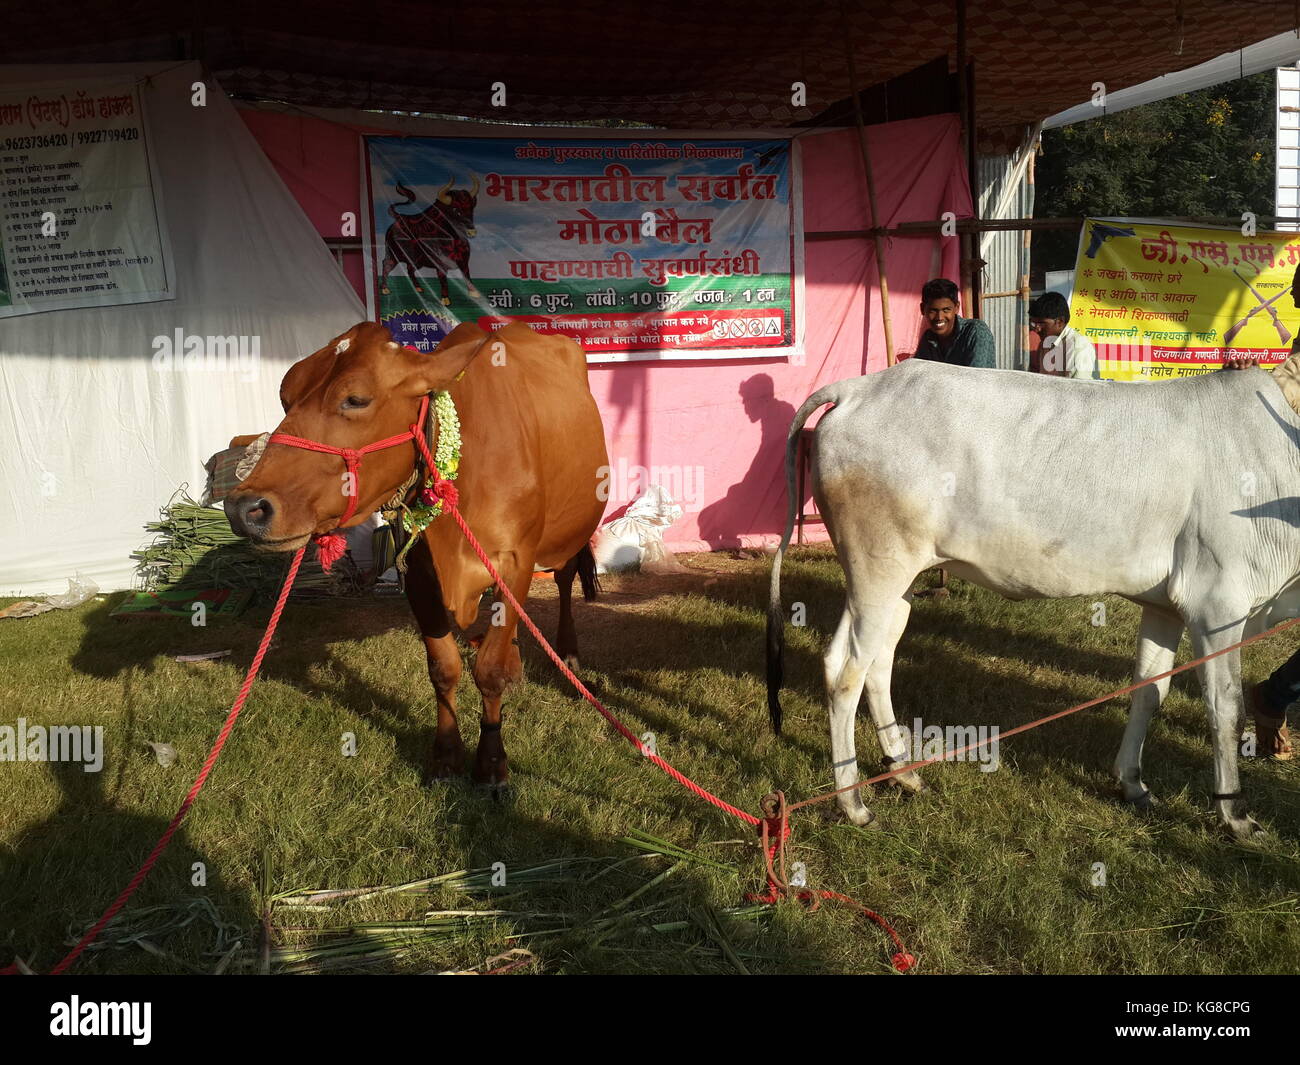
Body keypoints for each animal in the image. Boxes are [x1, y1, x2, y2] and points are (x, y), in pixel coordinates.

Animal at [225, 320, 609, 787]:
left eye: (356, 399)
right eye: (285, 395)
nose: (244, 508)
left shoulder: (513, 562)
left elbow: (489, 670)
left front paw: (492, 763)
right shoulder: (419, 572)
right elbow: (443, 668)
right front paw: (445, 756)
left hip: (570, 528)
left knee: (565, 576)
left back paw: (566, 652)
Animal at [379, 176, 480, 306]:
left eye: (471, 208)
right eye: (455, 209)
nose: (472, 232)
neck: (454, 240)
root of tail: (399, 218)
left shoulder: (464, 262)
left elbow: (467, 275)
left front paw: (474, 293)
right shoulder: (440, 265)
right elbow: (443, 279)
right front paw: (445, 299)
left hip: (416, 261)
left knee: (410, 270)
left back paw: (419, 288)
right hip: (393, 255)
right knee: (386, 265)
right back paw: (385, 289)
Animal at [767, 356, 1300, 840]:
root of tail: (855, 388)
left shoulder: (1164, 607)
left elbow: (1150, 691)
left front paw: (1133, 784)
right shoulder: (1219, 605)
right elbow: (1226, 708)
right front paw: (1234, 813)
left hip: (892, 583)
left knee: (874, 664)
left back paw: (903, 772)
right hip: (879, 570)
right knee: (845, 672)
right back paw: (853, 803)